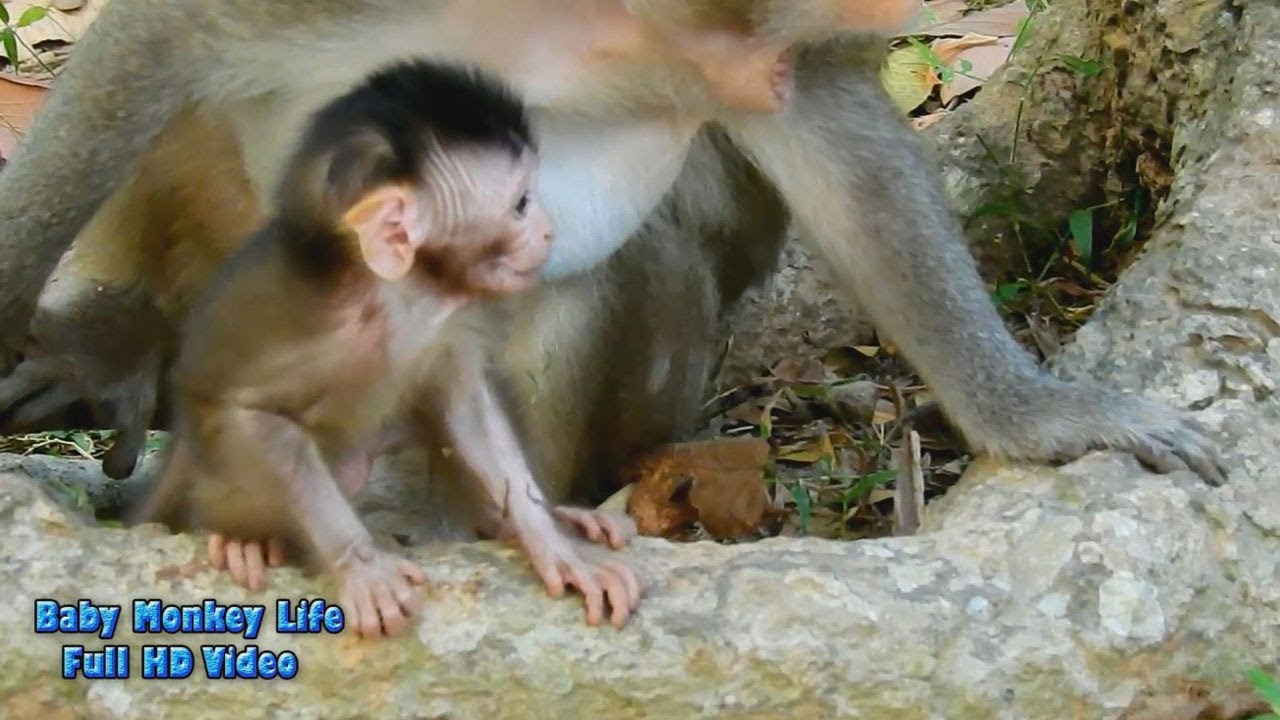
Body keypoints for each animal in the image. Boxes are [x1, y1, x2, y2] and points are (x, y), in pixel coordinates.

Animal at [132, 60, 640, 637]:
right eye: (520, 205)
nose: (549, 231)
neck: (397, 294)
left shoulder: (444, 322)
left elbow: (468, 411)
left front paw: (554, 544)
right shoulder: (319, 336)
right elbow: (250, 415)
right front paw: (360, 566)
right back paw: (244, 541)